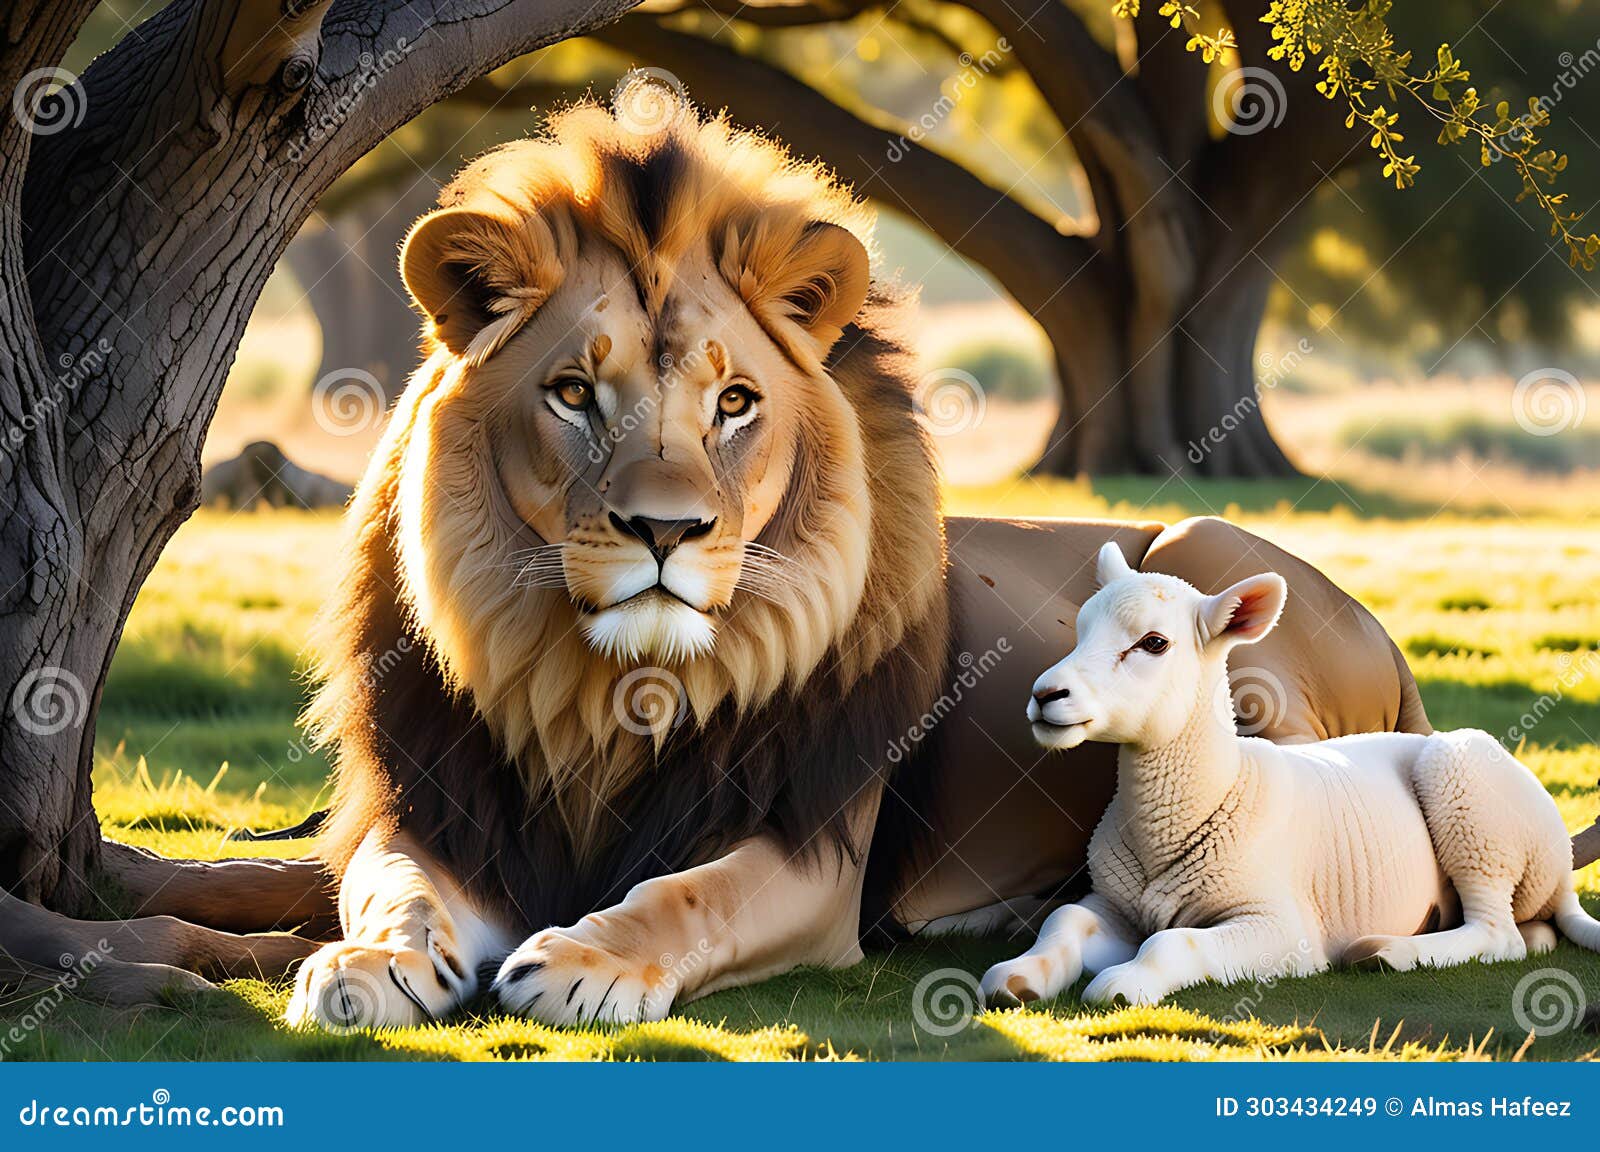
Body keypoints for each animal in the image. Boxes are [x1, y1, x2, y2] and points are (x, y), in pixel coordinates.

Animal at [285, 100, 1429, 1029]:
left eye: (733, 401)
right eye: (573, 393)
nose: (663, 530)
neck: (605, 695)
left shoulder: (818, 845)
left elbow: (688, 893)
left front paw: (585, 962)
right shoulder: (440, 807)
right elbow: (396, 886)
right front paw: (366, 964)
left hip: (1210, 553)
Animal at [980, 541, 1600, 1008]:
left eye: (1153, 643)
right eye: (1081, 631)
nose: (1045, 695)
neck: (1212, 795)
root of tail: (1562, 865)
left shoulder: (1283, 929)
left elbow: (1171, 945)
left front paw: (1124, 983)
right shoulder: (1114, 907)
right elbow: (1063, 920)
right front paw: (1016, 977)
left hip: (1469, 795)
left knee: (1498, 934)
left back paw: (1385, 952)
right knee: (1528, 932)